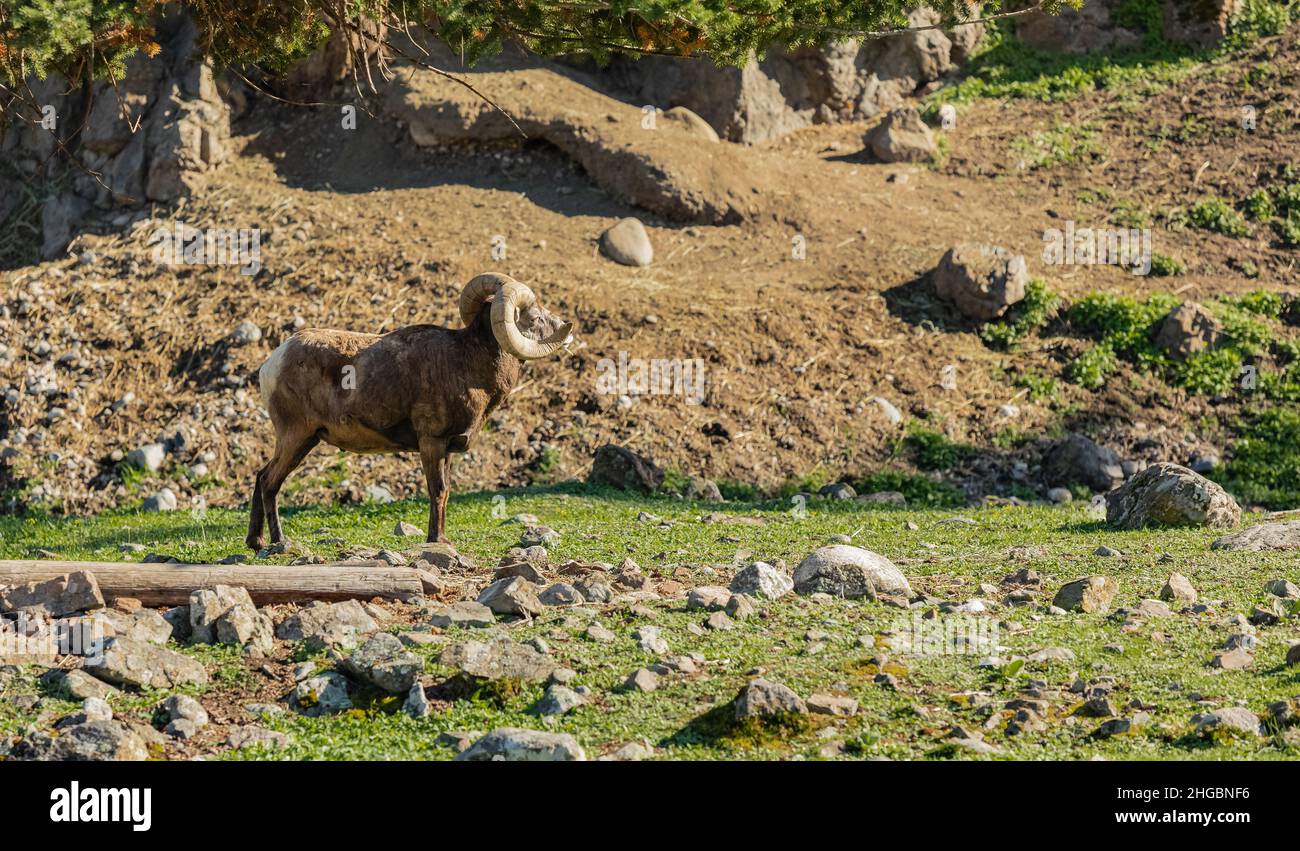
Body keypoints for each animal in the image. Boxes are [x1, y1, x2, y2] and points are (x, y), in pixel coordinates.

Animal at [245, 272, 573, 550]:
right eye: (536, 317)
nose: (567, 330)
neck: (468, 363)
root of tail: (271, 364)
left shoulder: (447, 449)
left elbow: (445, 491)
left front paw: (441, 538)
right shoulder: (431, 442)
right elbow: (437, 490)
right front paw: (437, 541)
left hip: (303, 440)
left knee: (262, 477)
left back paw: (256, 542)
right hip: (297, 436)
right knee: (270, 482)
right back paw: (277, 542)